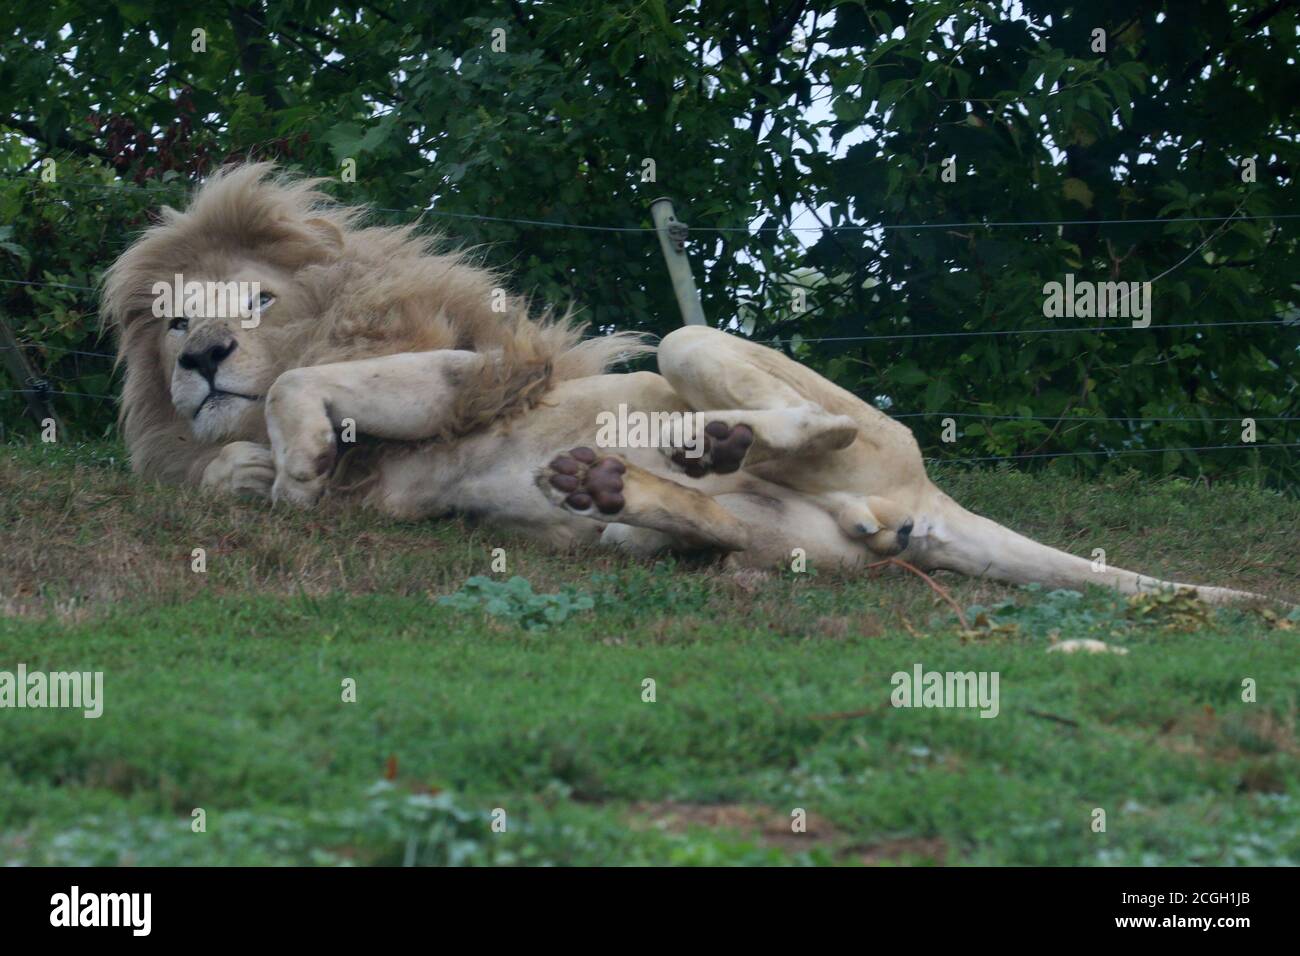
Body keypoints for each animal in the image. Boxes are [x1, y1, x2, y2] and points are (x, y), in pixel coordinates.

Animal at [102, 163, 1274, 606]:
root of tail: (927, 504)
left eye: (250, 304)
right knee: (747, 527)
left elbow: (306, 387)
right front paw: (256, 475)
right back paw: (628, 481)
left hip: (699, 343)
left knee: (800, 418)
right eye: (173, 321)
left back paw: (718, 441)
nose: (198, 362)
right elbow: (233, 466)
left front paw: (294, 458)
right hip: (751, 540)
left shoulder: (469, 368)